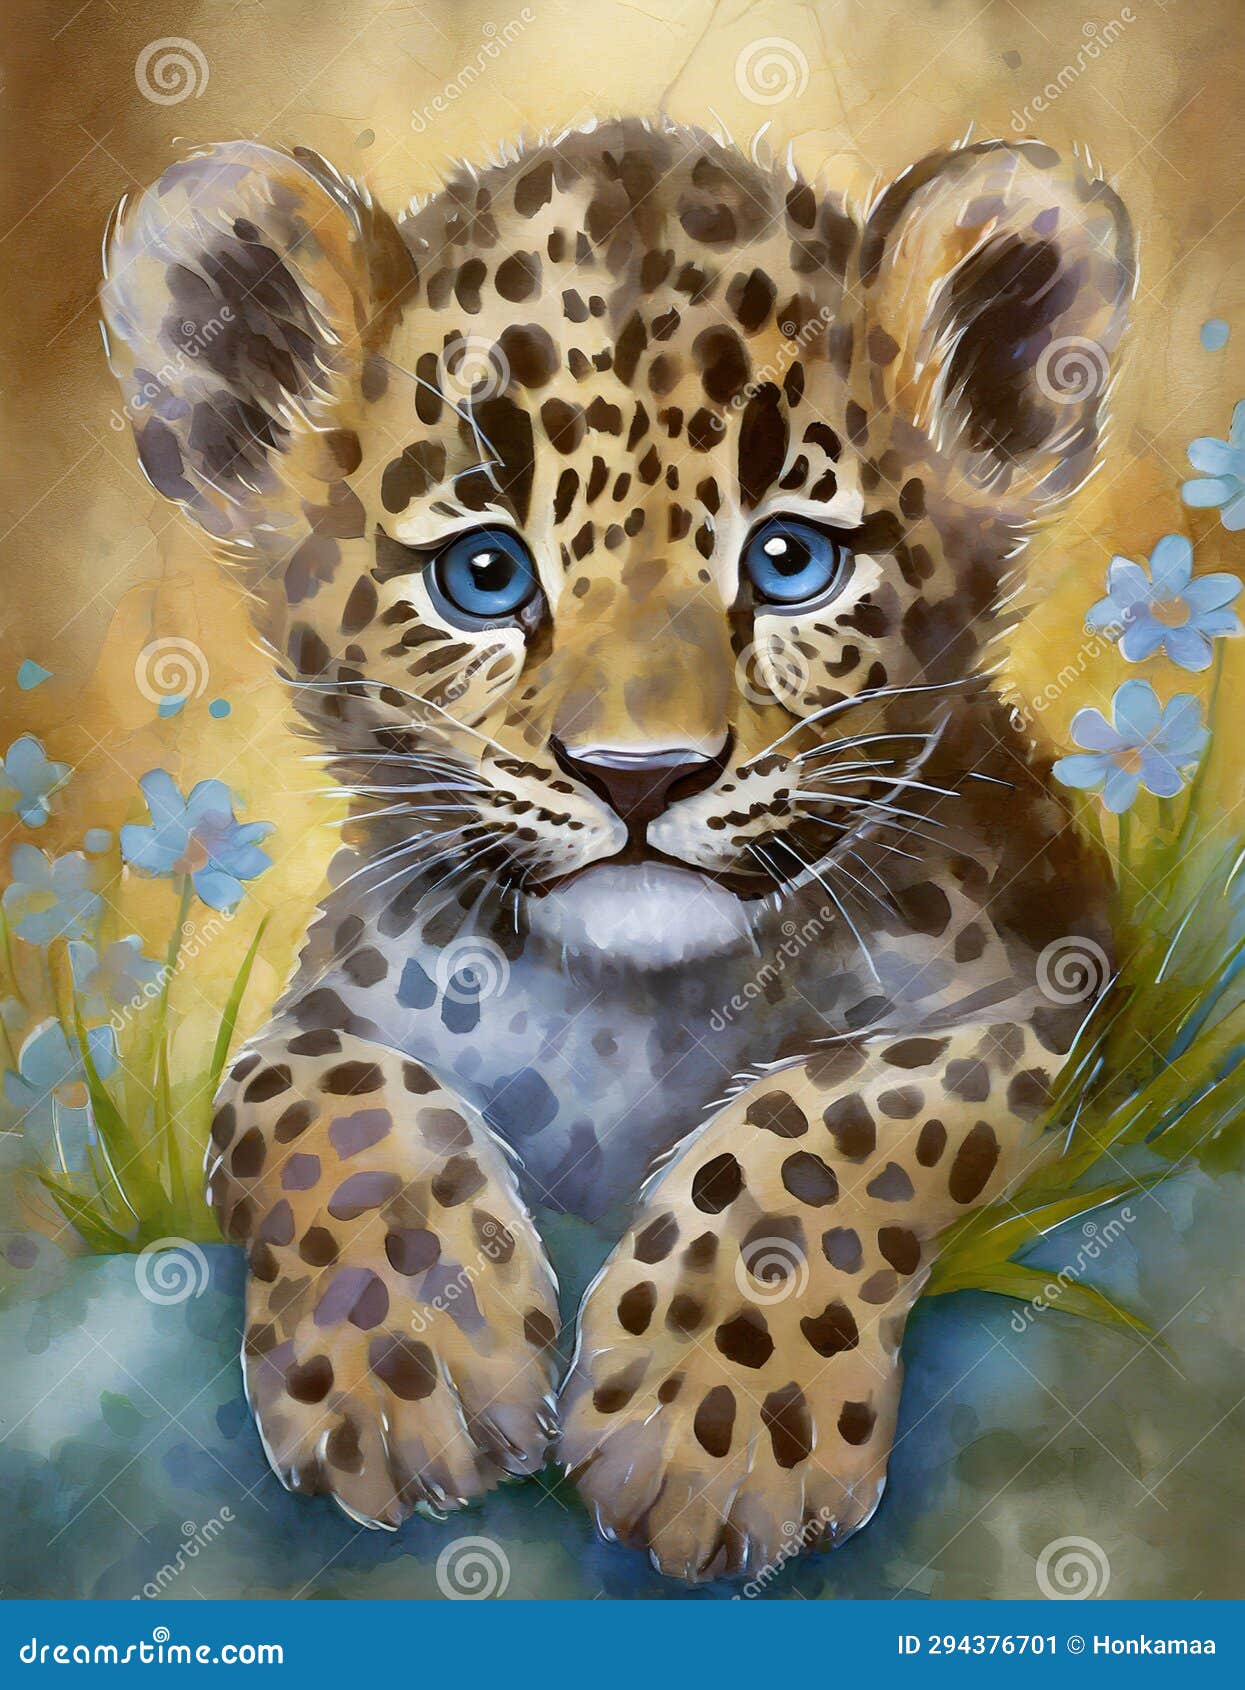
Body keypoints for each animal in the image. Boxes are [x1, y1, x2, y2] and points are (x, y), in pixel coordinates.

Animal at [100, 117, 1132, 1584]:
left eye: (791, 559)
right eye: (481, 574)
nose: (640, 775)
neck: (625, 1018)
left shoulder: (1053, 992)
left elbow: (834, 1112)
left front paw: (718, 1430)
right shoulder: (334, 999)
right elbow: (305, 1102)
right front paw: (402, 1361)